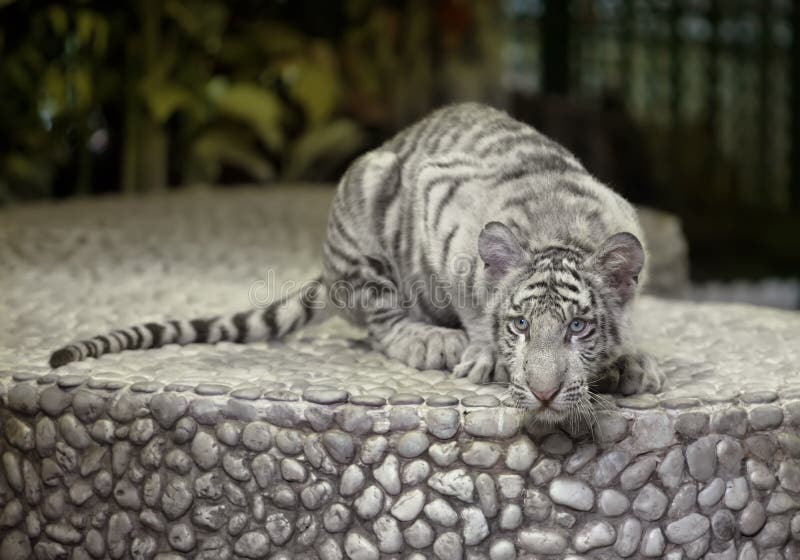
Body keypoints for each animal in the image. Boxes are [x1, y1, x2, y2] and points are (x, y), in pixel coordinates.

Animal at [49, 103, 664, 424]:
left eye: (578, 327)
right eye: (519, 325)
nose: (542, 394)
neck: (561, 230)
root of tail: (329, 270)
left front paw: (632, 363)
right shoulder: (444, 209)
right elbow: (472, 302)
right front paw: (483, 354)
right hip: (369, 212)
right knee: (380, 321)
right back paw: (429, 340)